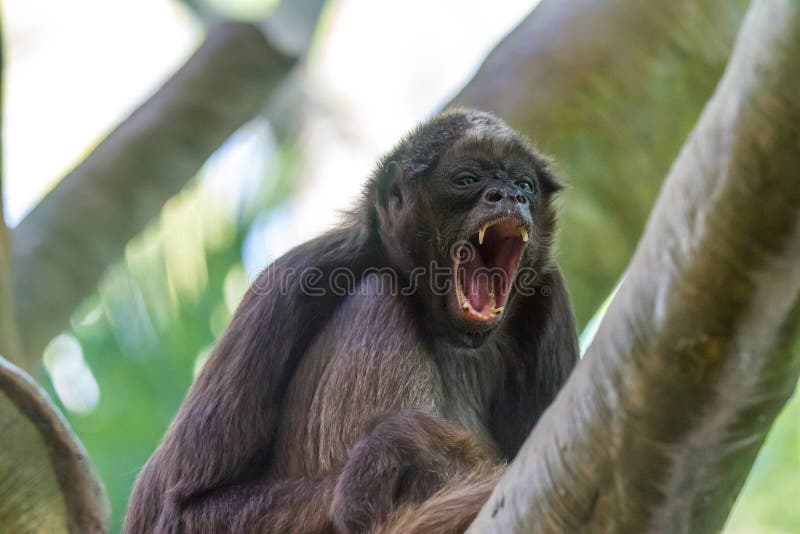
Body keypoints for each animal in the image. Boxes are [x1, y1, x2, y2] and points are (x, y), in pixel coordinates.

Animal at [124, 109, 579, 533]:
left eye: (525, 185)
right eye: (466, 179)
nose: (509, 196)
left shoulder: (548, 291)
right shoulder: (294, 279)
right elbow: (172, 512)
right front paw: (413, 450)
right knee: (378, 293)